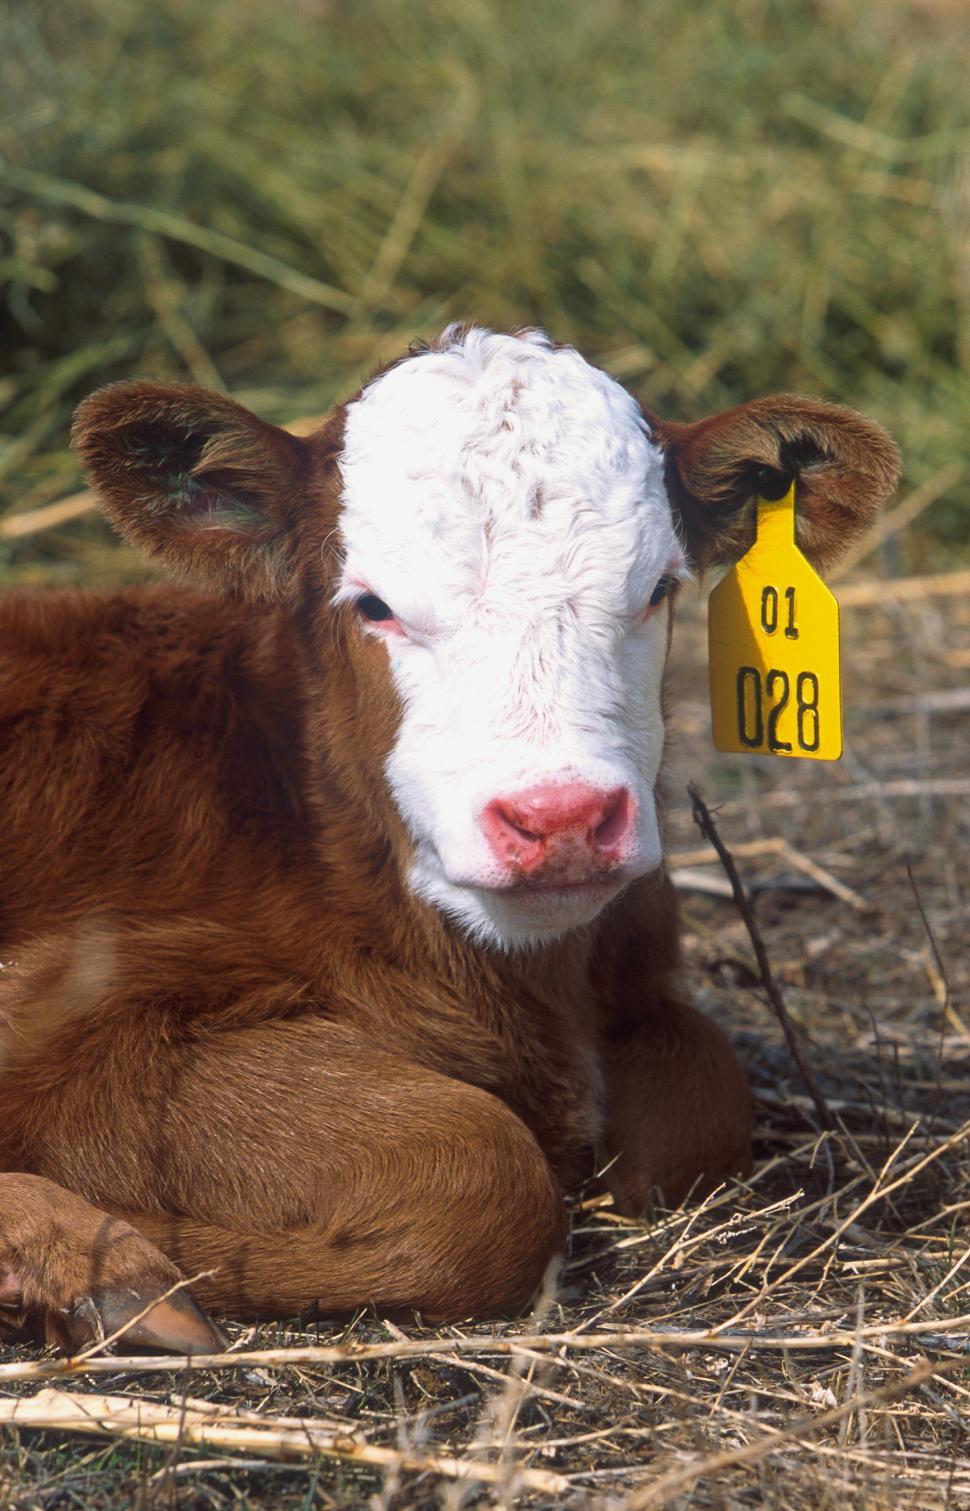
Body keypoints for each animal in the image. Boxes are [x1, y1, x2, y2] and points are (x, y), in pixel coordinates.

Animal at [0, 327, 899, 1353]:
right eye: (373, 604)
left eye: (658, 589)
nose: (560, 817)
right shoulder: (68, 1017)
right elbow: (483, 1170)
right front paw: (130, 1253)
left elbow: (702, 1098)